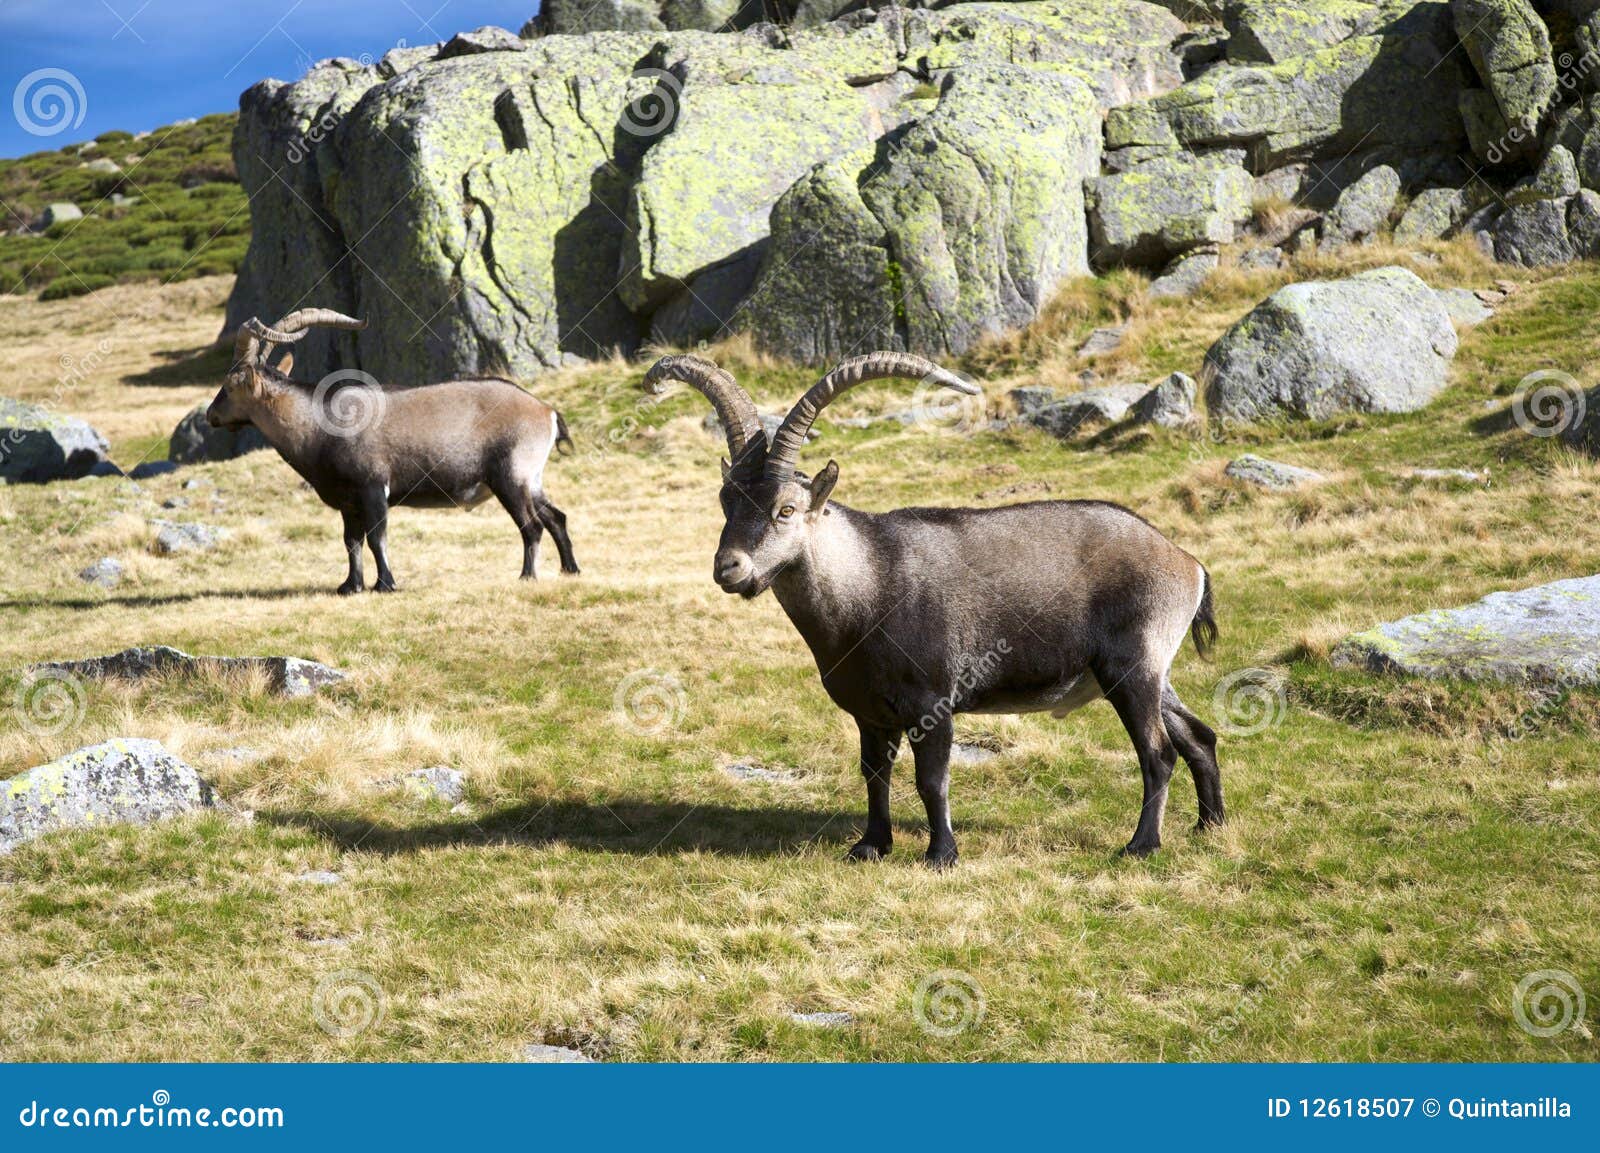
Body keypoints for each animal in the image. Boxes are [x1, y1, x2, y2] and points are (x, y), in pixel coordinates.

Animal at [208, 309, 579, 593]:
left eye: (228, 386)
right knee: (556, 517)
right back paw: (570, 569)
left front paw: (385, 584)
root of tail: (545, 411)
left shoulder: (373, 487)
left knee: (533, 526)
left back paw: (527, 576)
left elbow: (377, 538)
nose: (211, 415)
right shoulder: (349, 502)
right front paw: (350, 586)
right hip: (532, 480)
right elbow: (351, 541)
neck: (319, 425)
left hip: (510, 478)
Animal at [645, 352, 1223, 866]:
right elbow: (874, 775)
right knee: (1198, 735)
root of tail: (1187, 563)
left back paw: (1142, 845)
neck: (867, 584)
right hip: (1149, 672)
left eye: (786, 509)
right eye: (726, 502)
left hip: (1132, 669)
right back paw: (1209, 826)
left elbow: (932, 780)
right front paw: (871, 846)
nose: (729, 567)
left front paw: (942, 854)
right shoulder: (871, 713)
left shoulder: (932, 703)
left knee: (1158, 753)